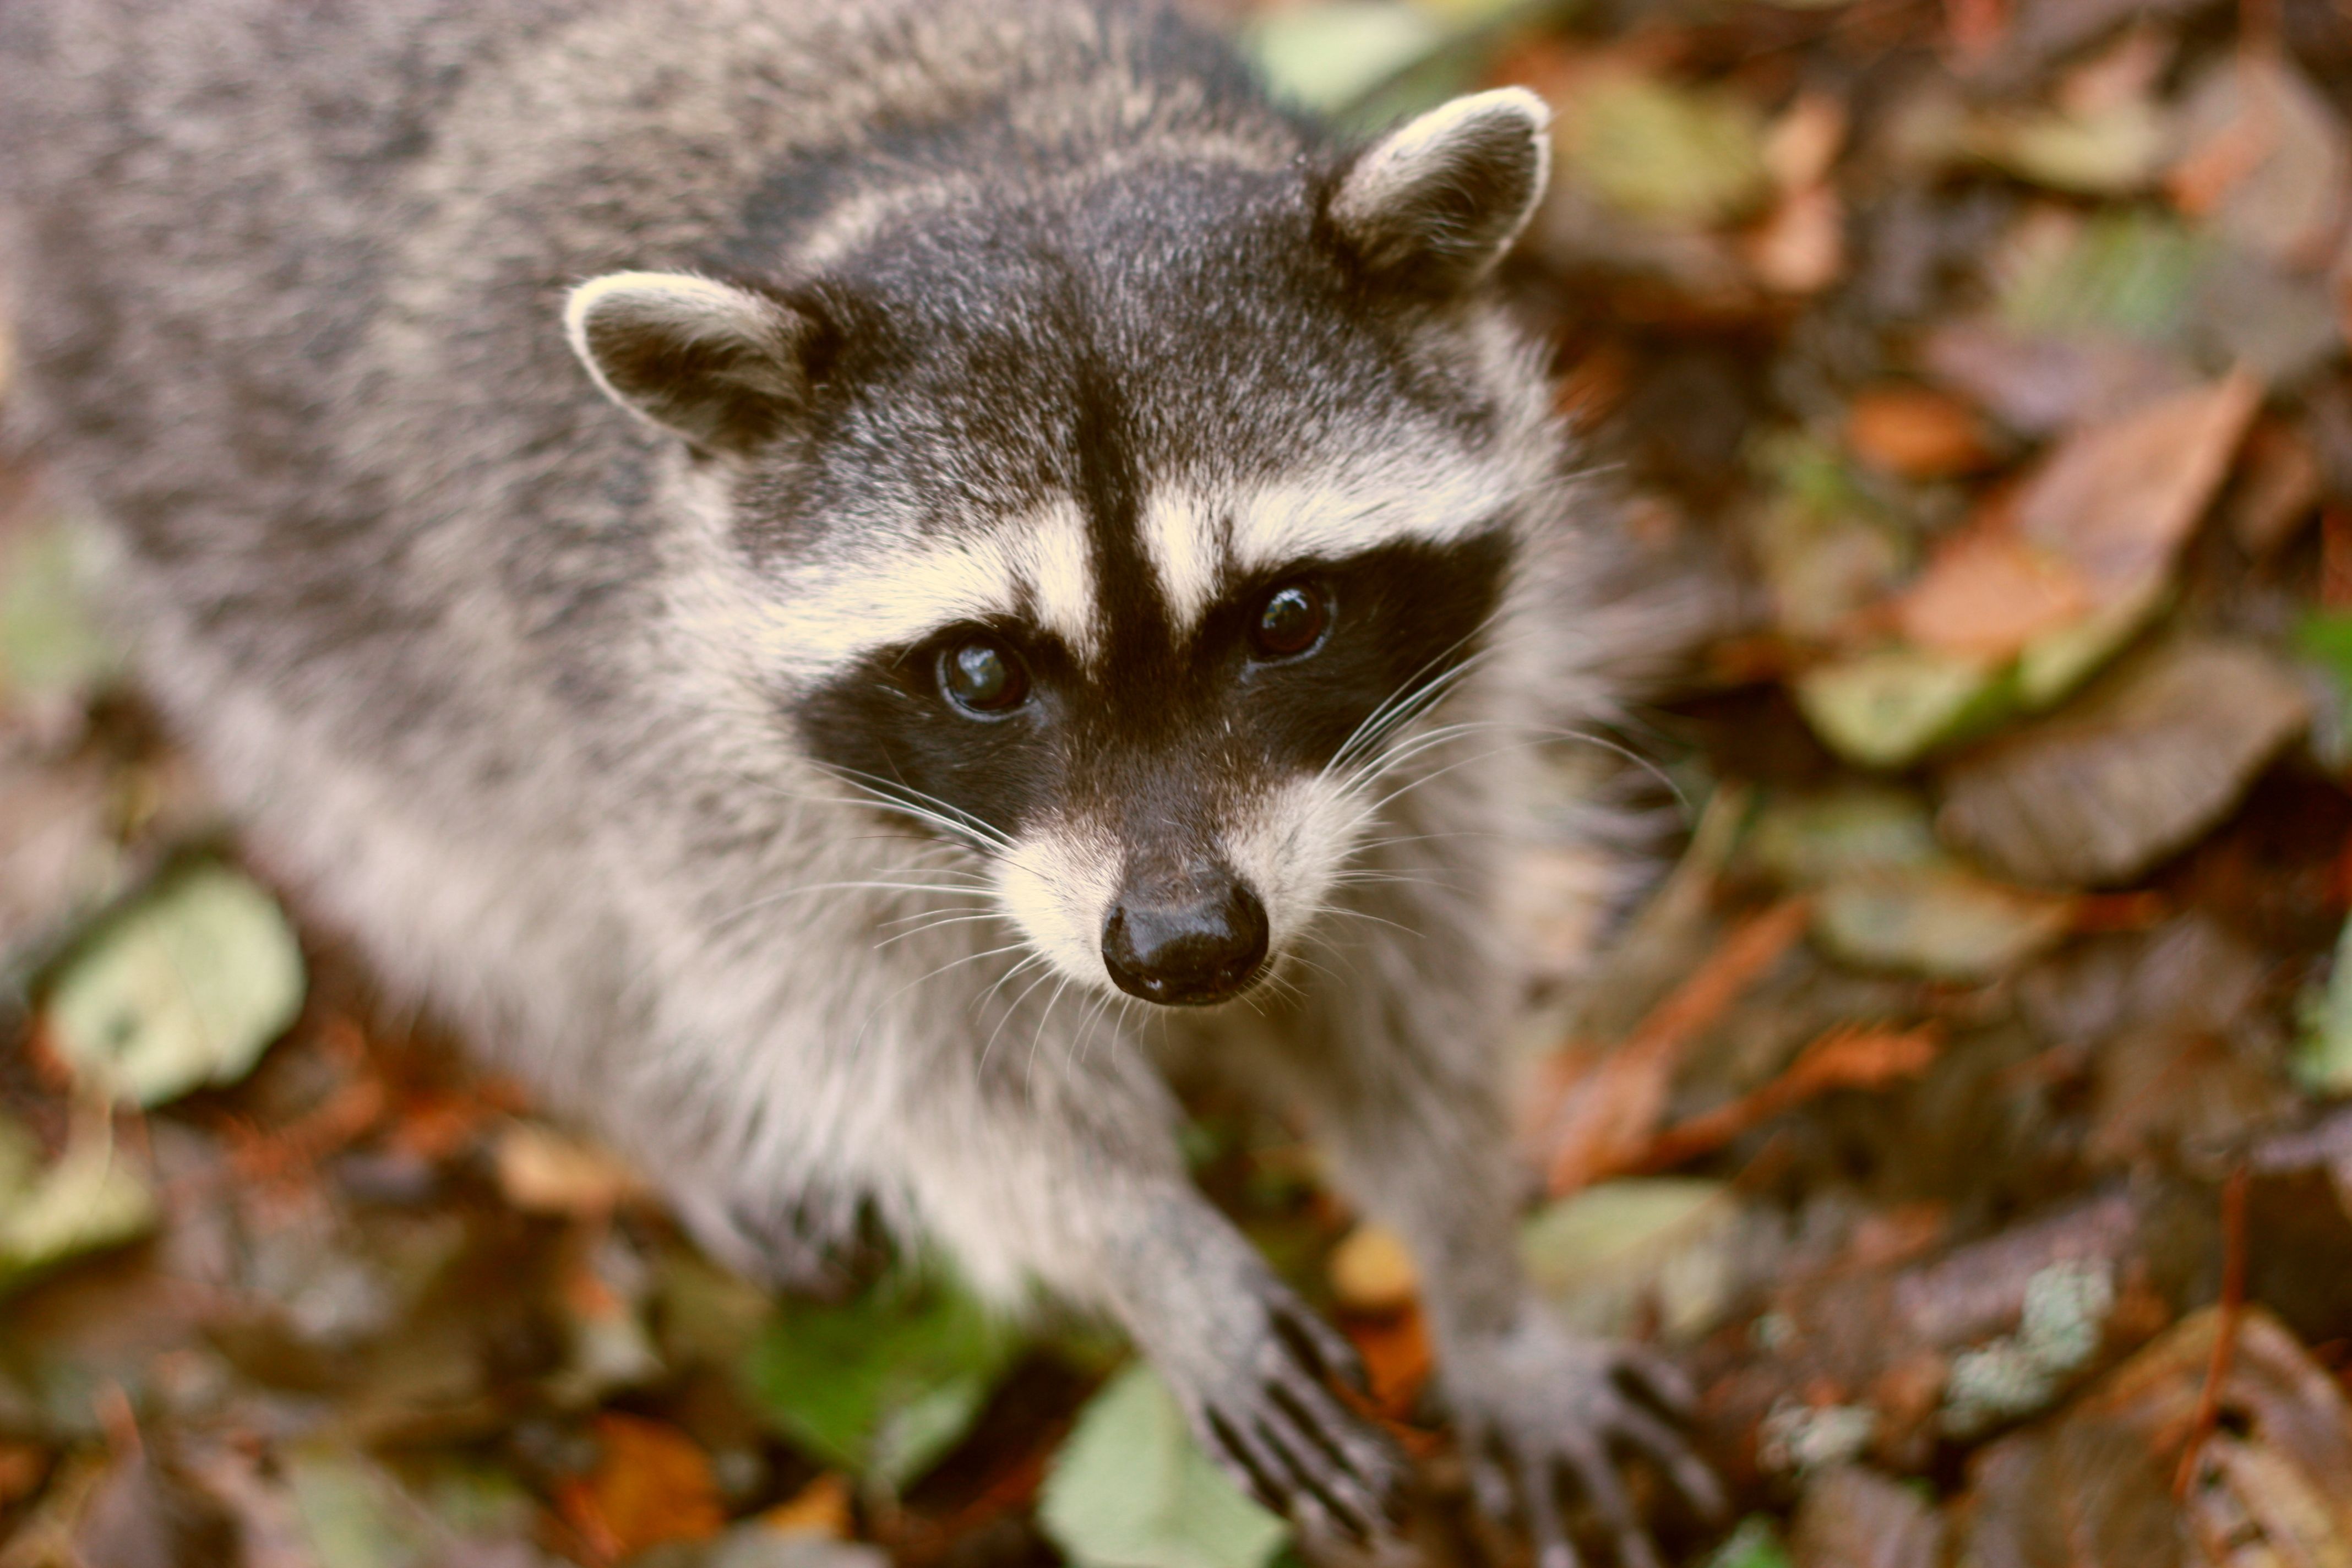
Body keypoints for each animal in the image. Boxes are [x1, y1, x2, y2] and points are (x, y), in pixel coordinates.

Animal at [1, 0, 1720, 1557]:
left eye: (1289, 616)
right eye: (981, 671)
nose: (1184, 952)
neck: (975, 139)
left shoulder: (1399, 747)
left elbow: (1404, 982)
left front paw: (1476, 1264)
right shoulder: (647, 707)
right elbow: (916, 1063)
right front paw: (1140, 1241)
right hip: (244, 540)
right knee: (456, 863)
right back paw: (646, 1091)